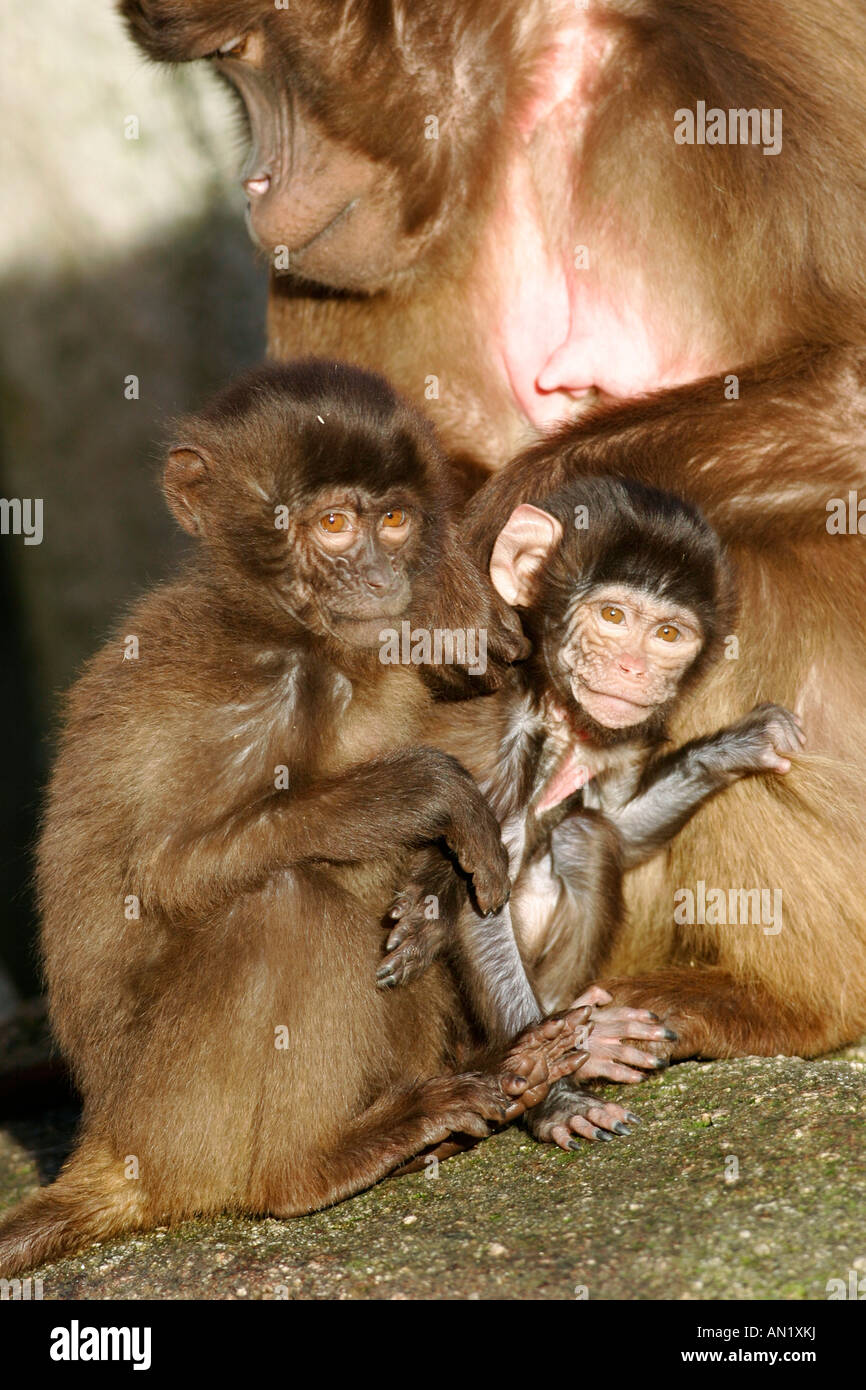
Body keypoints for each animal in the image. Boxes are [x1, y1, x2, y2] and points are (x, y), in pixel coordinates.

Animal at [0, 359, 597, 1277]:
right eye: (334, 525)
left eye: (394, 520)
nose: (380, 580)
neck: (309, 637)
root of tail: (110, 1145)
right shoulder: (262, 691)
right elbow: (173, 872)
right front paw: (426, 791)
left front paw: (436, 887)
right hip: (179, 1117)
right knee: (285, 904)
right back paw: (312, 1168)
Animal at [116, 4, 866, 1065]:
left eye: (243, 59)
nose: (257, 180)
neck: (529, 69)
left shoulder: (758, 58)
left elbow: (851, 381)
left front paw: (469, 553)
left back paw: (797, 1003)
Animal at [376, 477, 805, 1145]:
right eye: (612, 616)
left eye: (668, 635)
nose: (632, 669)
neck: (561, 714)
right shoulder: (498, 732)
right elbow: (482, 889)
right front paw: (550, 1091)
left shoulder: (623, 735)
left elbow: (620, 831)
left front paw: (734, 747)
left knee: (585, 836)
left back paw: (586, 1031)